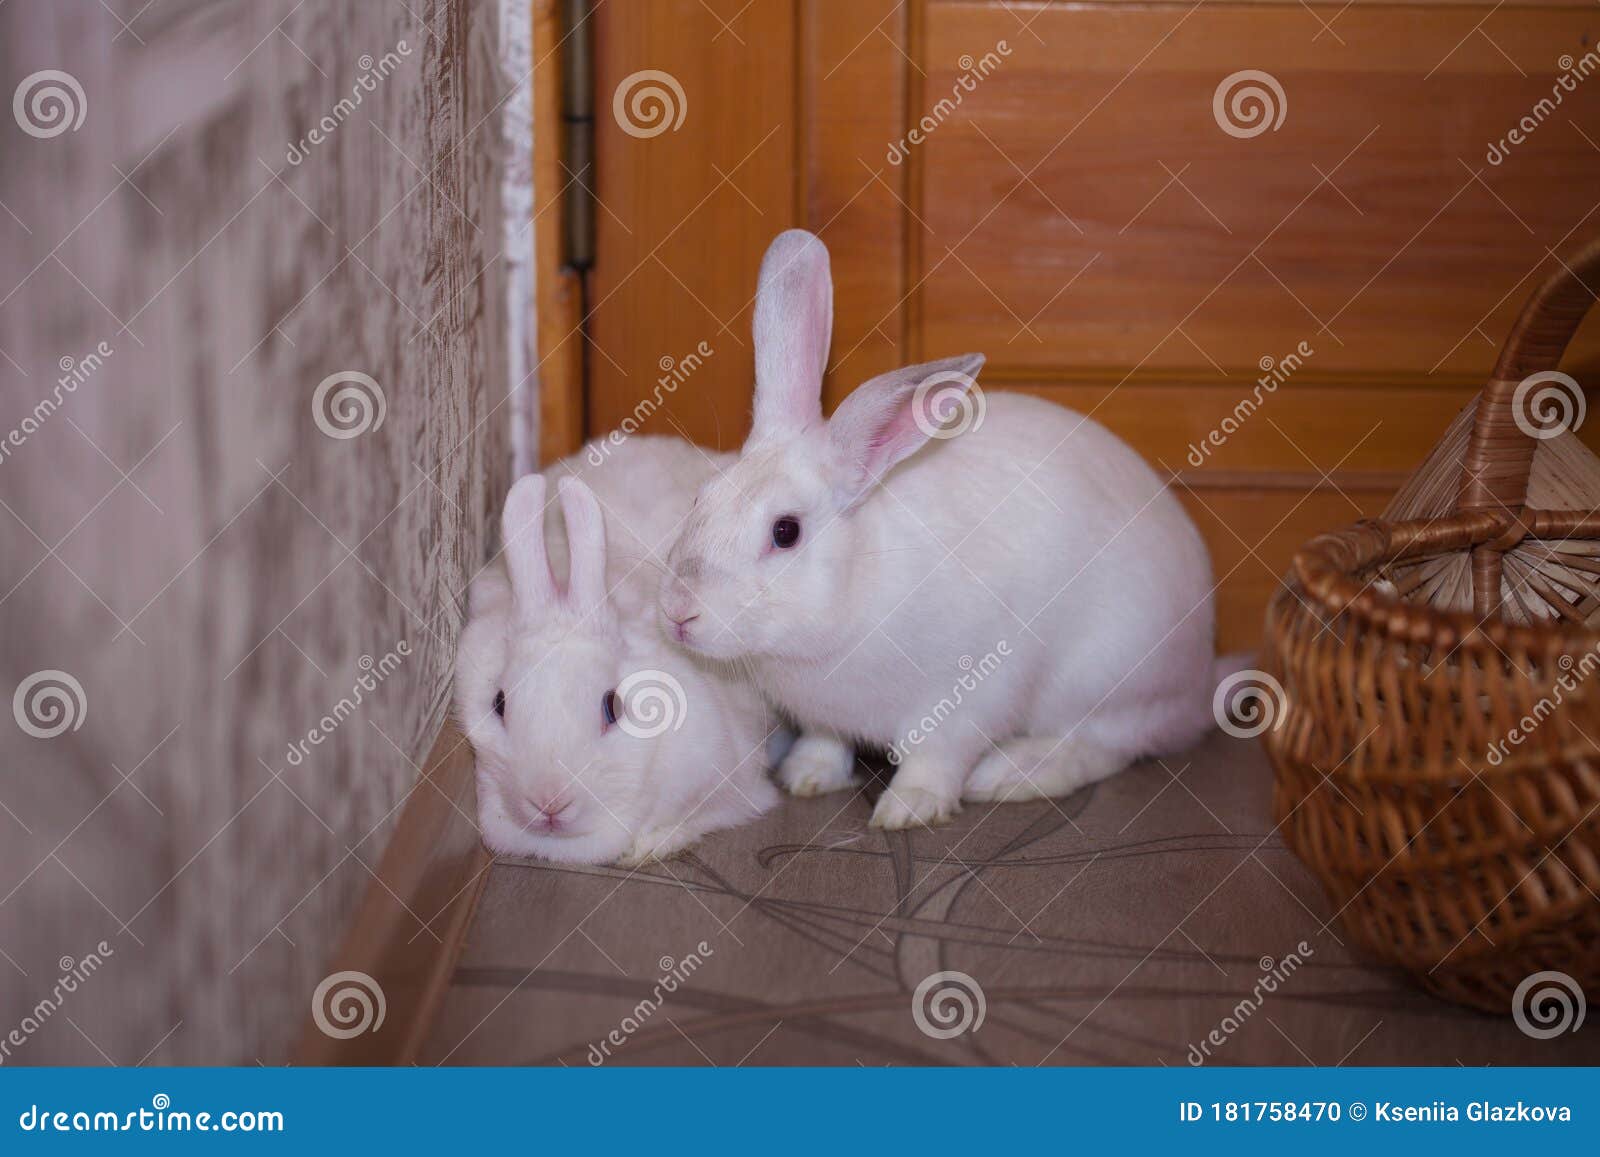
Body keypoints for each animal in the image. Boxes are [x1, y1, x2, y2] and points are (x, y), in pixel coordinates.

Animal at [658, 229, 1226, 830]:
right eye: (701, 496)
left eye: (786, 531)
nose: (677, 611)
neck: (858, 582)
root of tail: (1199, 682)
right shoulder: (824, 716)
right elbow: (825, 740)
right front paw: (807, 778)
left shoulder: (969, 696)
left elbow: (937, 756)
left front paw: (909, 809)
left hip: (1106, 676)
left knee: (1103, 745)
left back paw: (1012, 775)